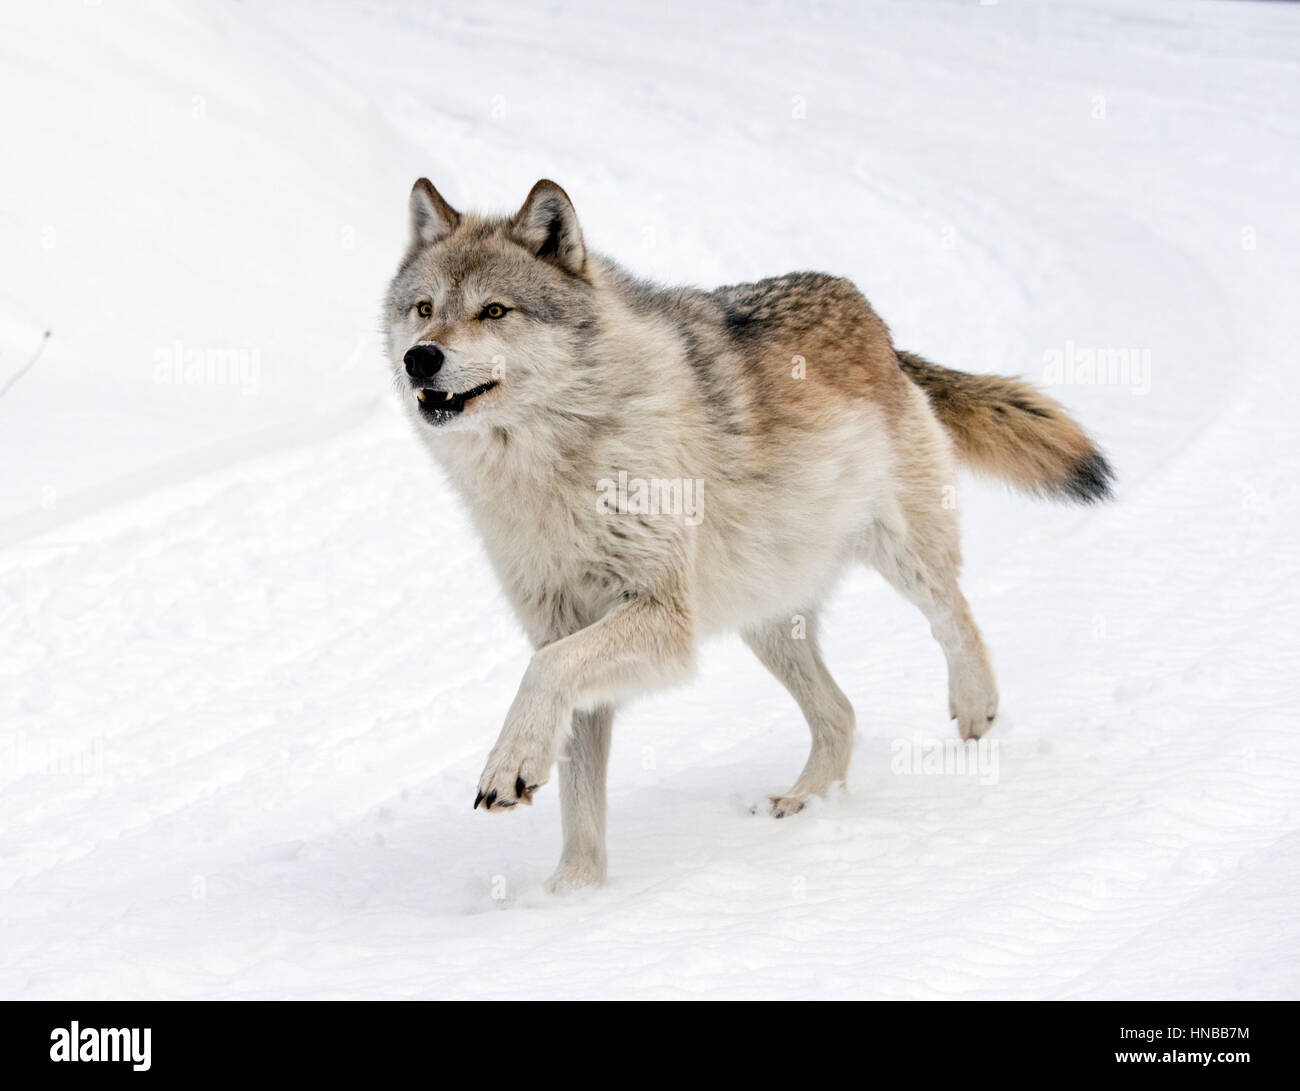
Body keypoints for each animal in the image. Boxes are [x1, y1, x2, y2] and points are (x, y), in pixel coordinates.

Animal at [383, 178, 1112, 891]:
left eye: (494, 311)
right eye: (423, 308)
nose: (421, 359)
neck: (549, 464)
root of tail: (873, 319)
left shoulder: (661, 619)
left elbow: (543, 673)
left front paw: (507, 769)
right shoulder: (566, 625)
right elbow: (579, 794)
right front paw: (573, 892)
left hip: (899, 553)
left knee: (954, 614)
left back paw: (975, 709)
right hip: (767, 615)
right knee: (841, 713)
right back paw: (804, 801)